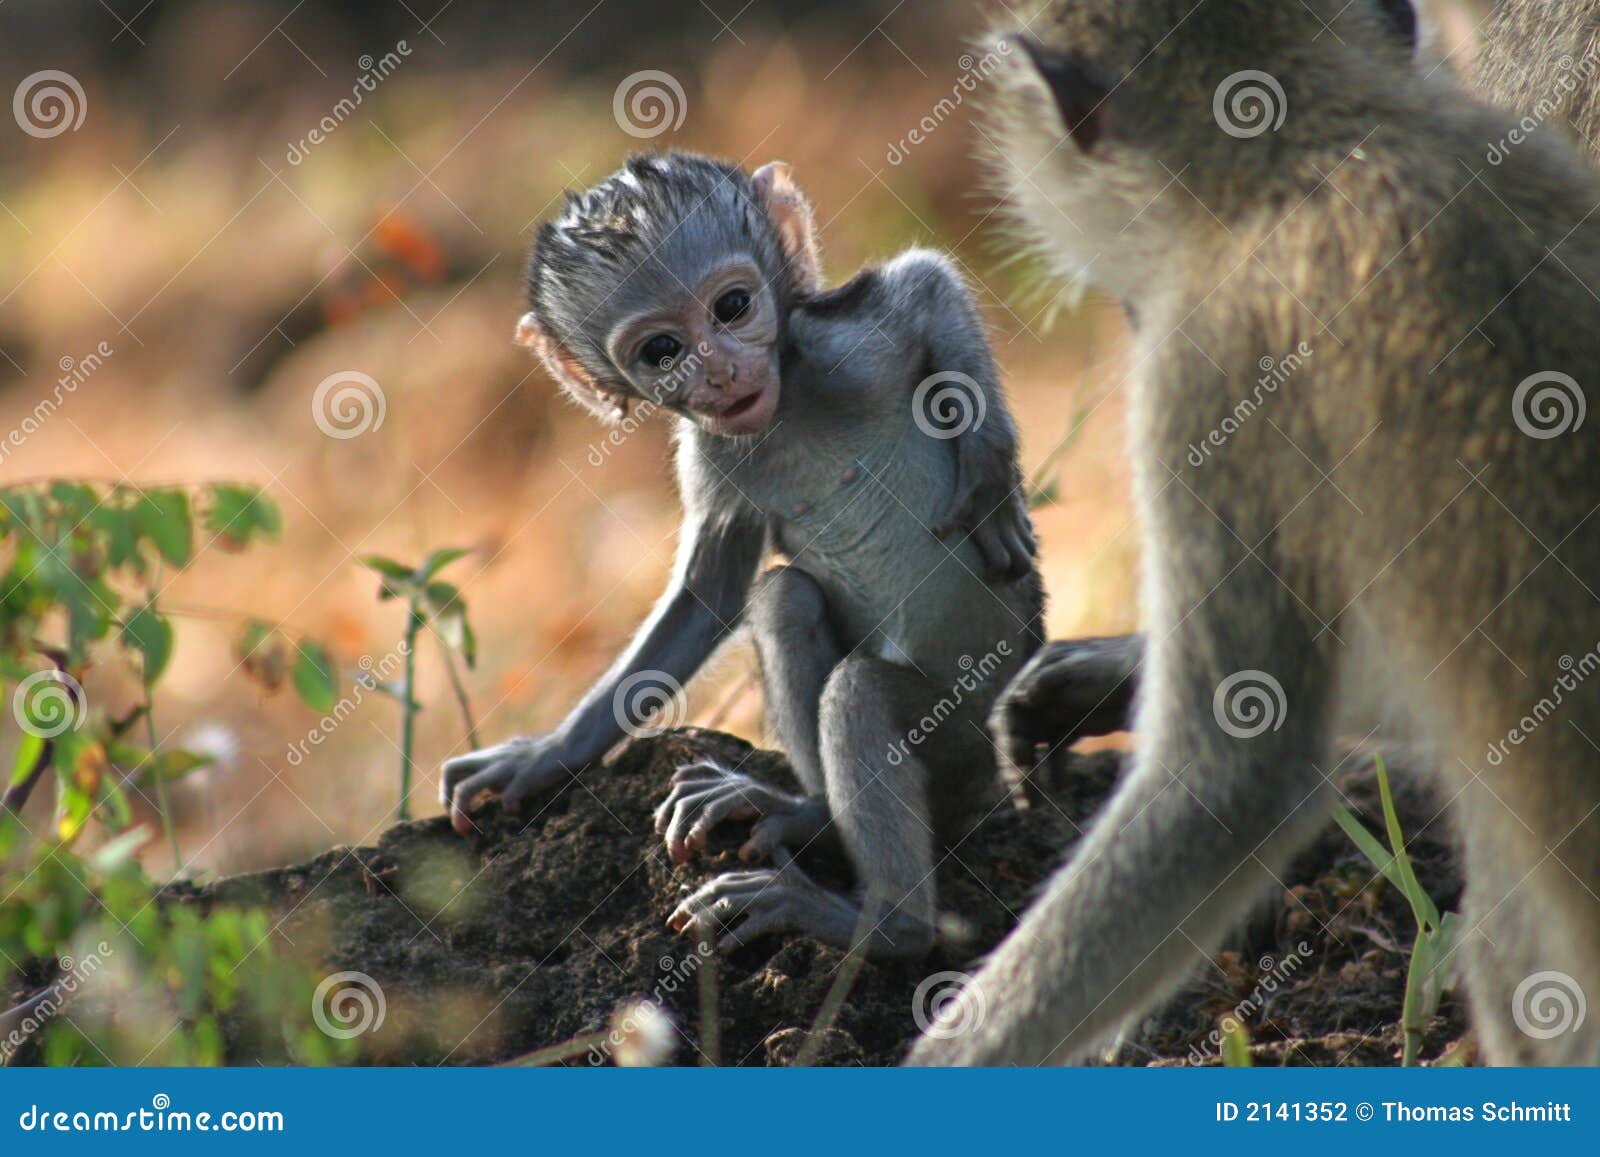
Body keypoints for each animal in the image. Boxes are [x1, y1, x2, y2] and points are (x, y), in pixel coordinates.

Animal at [442, 153, 1045, 957]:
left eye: (732, 308)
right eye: (662, 351)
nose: (722, 372)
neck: (785, 409)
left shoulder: (842, 348)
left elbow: (926, 284)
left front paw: (990, 467)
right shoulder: (709, 450)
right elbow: (711, 596)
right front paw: (544, 754)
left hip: (968, 728)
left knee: (859, 694)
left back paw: (884, 926)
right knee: (785, 599)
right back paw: (803, 810)